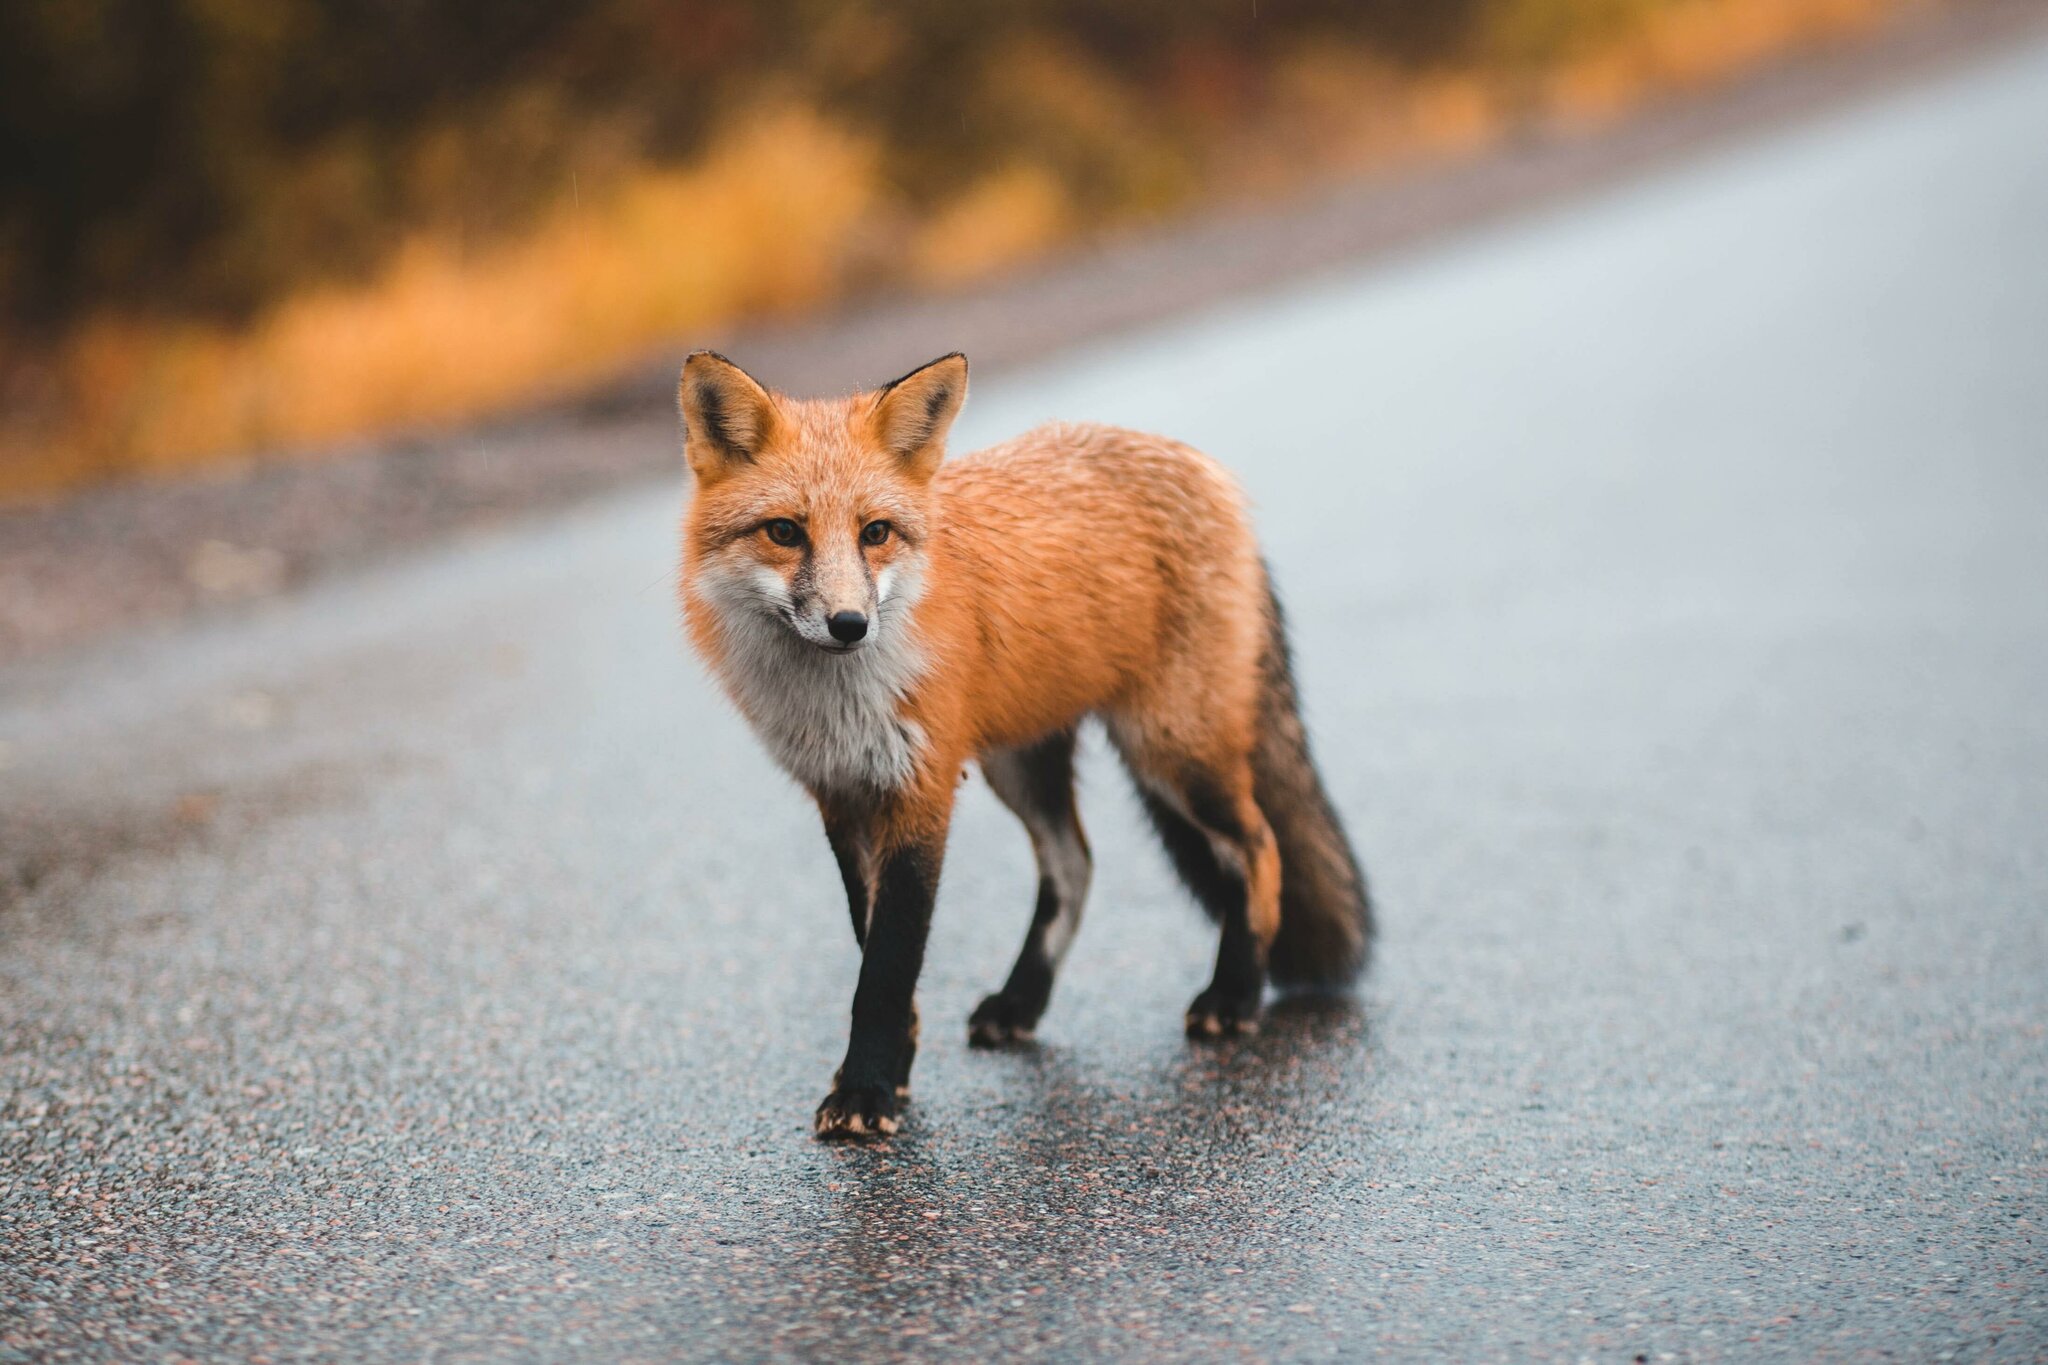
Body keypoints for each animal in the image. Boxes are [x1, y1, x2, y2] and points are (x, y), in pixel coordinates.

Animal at [676, 350, 1371, 1139]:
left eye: (875, 532)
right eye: (785, 532)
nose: (851, 624)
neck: (836, 703)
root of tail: (1201, 465)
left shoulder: (922, 789)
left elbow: (887, 964)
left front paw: (867, 1090)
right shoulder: (843, 795)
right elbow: (871, 944)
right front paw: (893, 1070)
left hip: (1170, 750)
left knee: (1258, 848)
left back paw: (1234, 995)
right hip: (1022, 764)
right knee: (1076, 864)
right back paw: (1022, 1002)